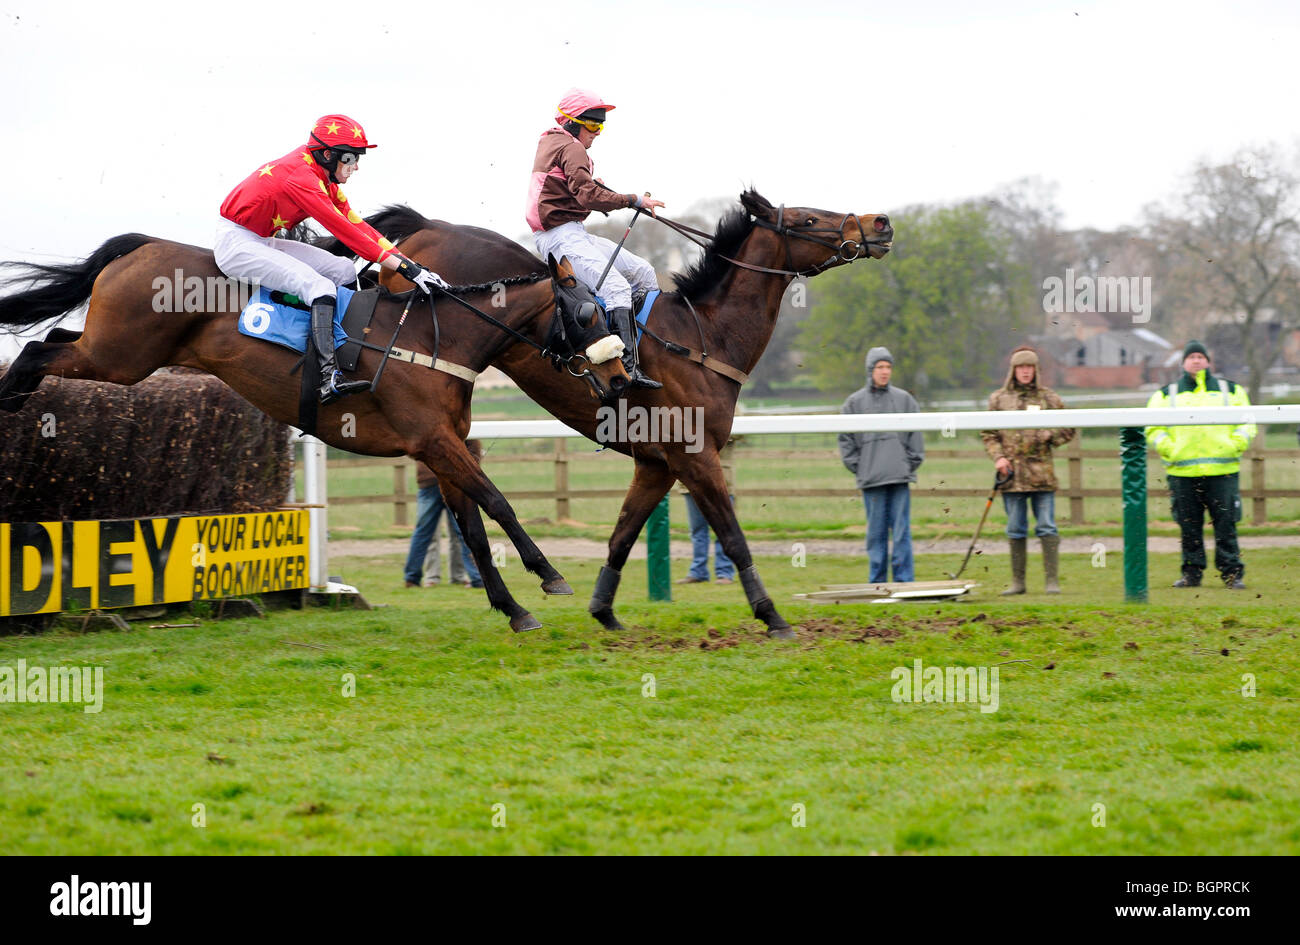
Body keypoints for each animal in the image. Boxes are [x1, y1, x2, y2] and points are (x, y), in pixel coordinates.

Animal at [0, 235, 631, 632]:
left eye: (605, 311)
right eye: (587, 315)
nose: (621, 376)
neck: (436, 340)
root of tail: (141, 247)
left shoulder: (441, 448)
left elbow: (473, 530)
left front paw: (513, 609)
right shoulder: (435, 441)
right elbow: (499, 504)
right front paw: (550, 576)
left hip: (113, 351)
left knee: (49, 340)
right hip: (120, 356)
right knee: (35, 351)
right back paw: (8, 406)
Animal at [320, 190, 893, 638]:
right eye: (809, 219)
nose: (881, 223)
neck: (702, 337)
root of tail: (427, 225)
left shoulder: (657, 463)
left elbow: (622, 536)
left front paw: (604, 610)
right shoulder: (695, 457)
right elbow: (731, 534)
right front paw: (772, 616)